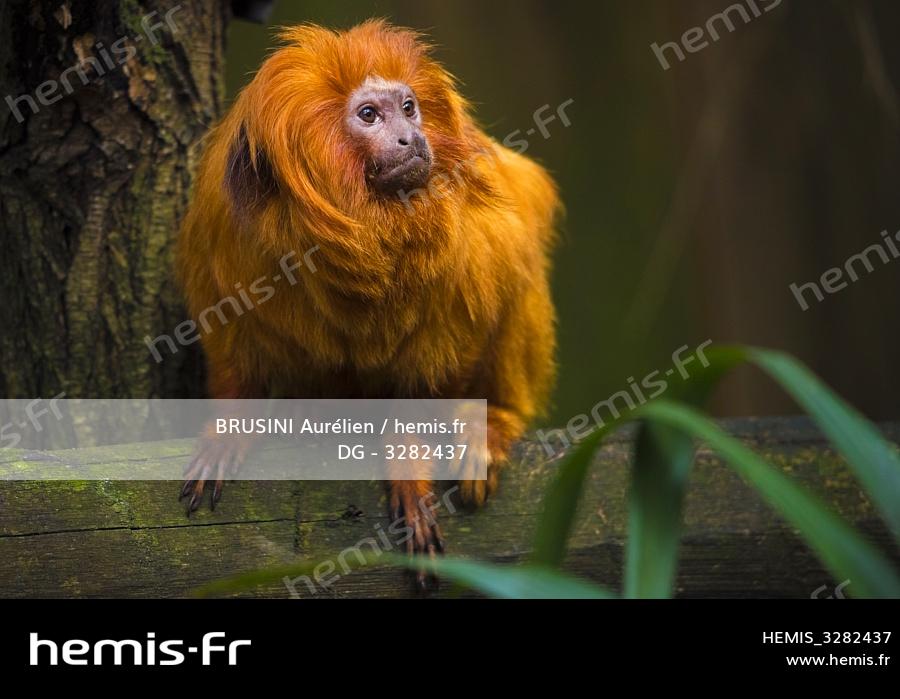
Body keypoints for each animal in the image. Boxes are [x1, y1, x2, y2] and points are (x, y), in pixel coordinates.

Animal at [176, 20, 560, 582]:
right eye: (369, 116)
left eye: (408, 107)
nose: (411, 139)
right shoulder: (224, 230)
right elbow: (232, 338)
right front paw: (229, 433)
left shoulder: (468, 232)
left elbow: (451, 336)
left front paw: (409, 460)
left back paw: (492, 422)